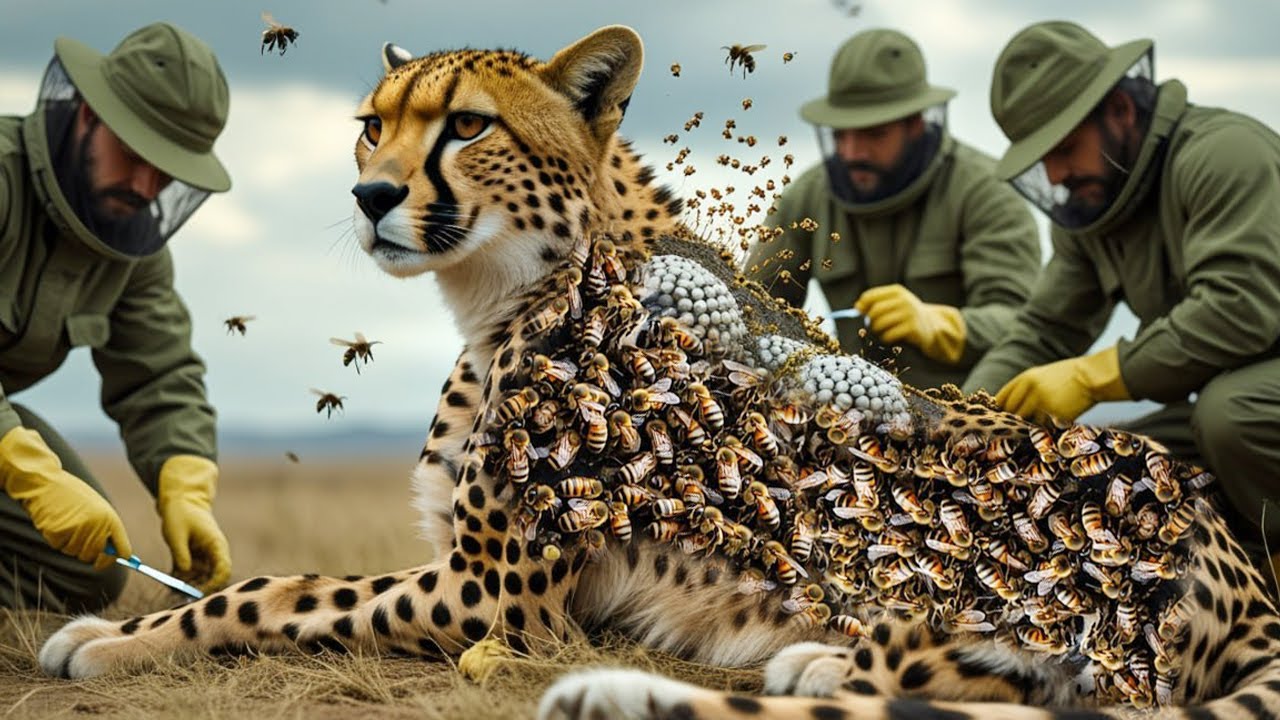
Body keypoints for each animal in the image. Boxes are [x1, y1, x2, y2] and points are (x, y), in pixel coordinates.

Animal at [39, 25, 1280, 720]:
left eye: (466, 127)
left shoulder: (498, 599)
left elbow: (265, 599)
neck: (506, 293)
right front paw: (110, 628)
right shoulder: (458, 569)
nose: (369, 193)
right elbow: (279, 584)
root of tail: (1224, 541)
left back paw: (800, 667)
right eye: (369, 123)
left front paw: (117, 646)